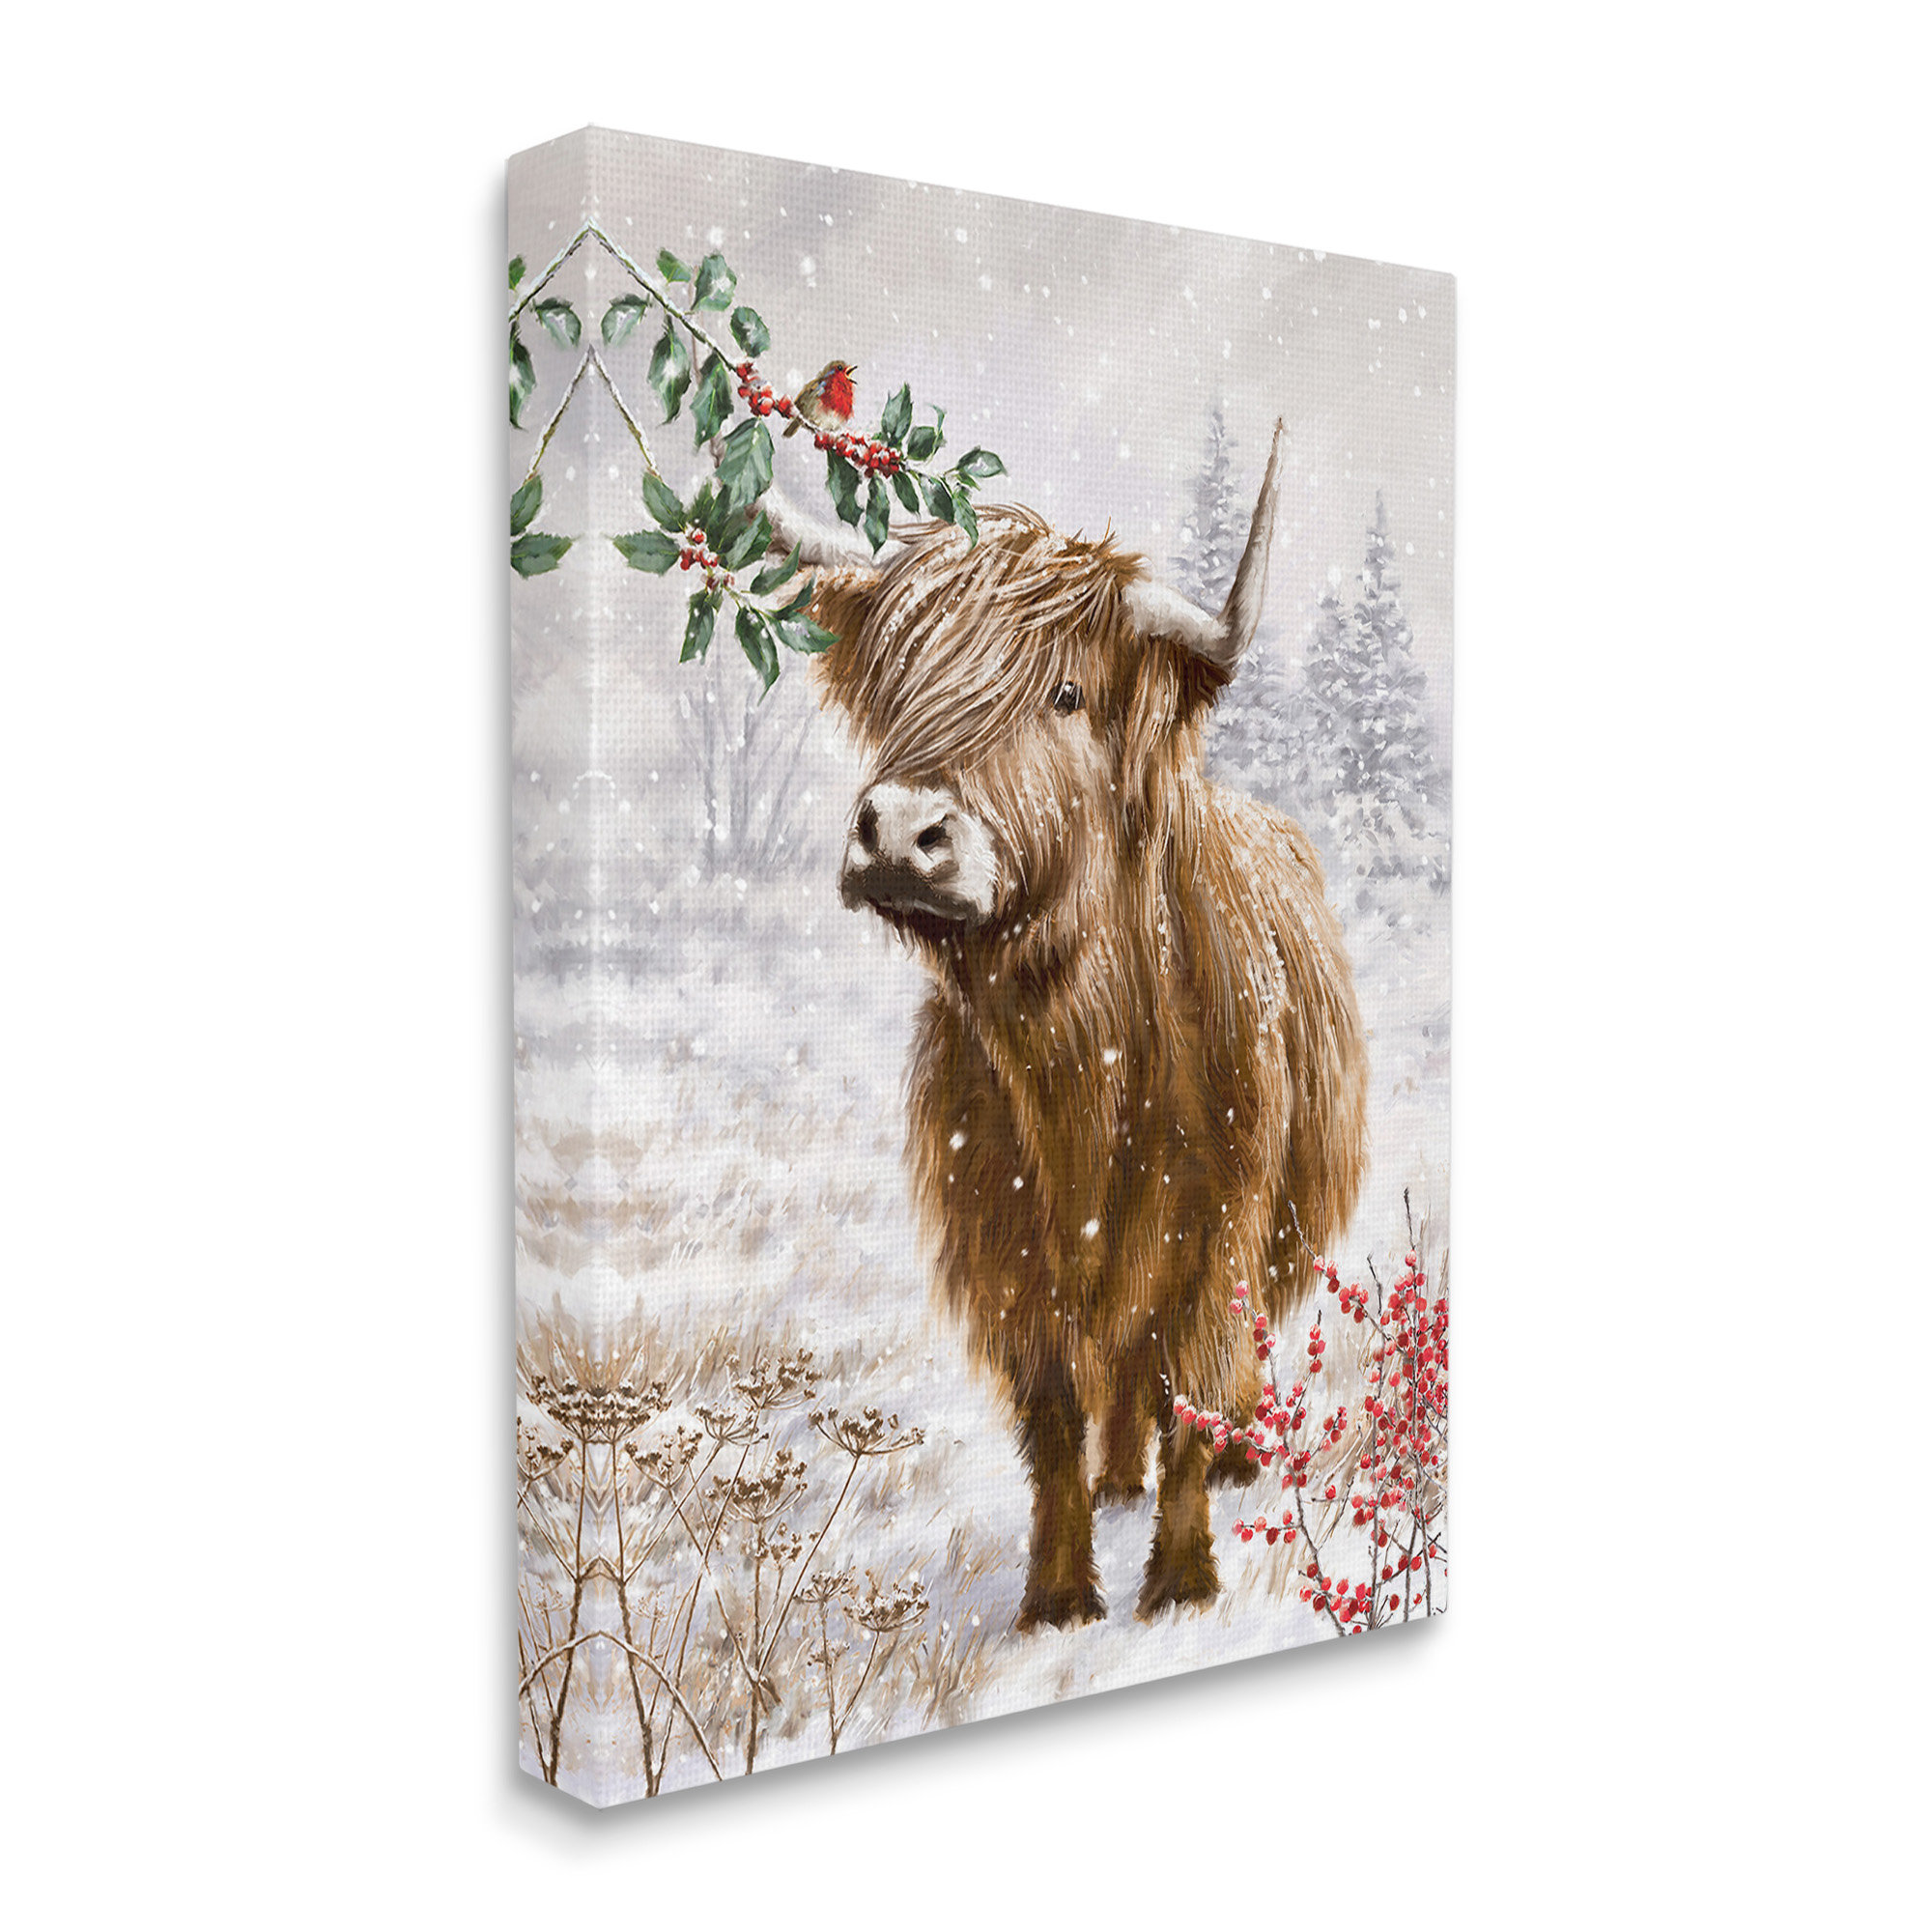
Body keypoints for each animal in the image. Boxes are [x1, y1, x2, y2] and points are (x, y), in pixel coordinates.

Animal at [766, 421, 1367, 1628]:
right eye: (900, 678)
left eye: (1065, 692)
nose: (899, 832)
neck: (1079, 1062)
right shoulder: (998, 1235)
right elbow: (1050, 1408)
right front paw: (1056, 1591)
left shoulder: (1223, 1223)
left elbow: (1195, 1379)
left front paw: (1180, 1579)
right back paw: (1118, 1478)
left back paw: (1230, 1460)